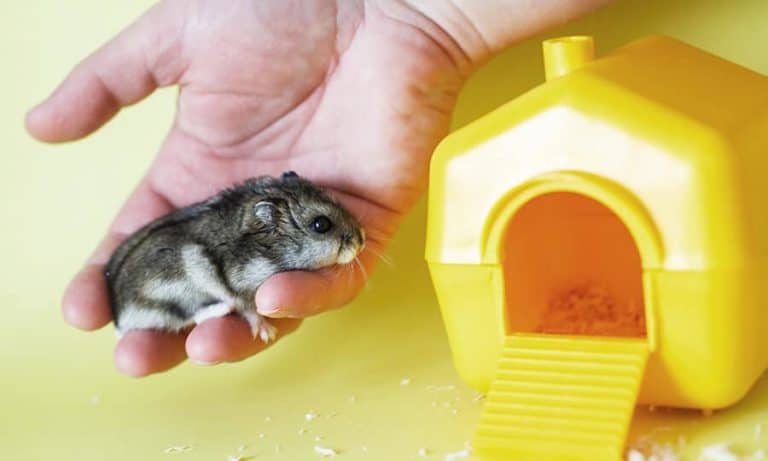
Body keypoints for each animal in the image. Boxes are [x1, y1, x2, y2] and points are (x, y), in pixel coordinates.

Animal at [104, 171, 365, 343]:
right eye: (321, 224)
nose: (362, 240)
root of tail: (118, 317)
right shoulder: (238, 286)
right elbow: (247, 308)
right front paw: (267, 333)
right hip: (172, 300)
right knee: (191, 318)